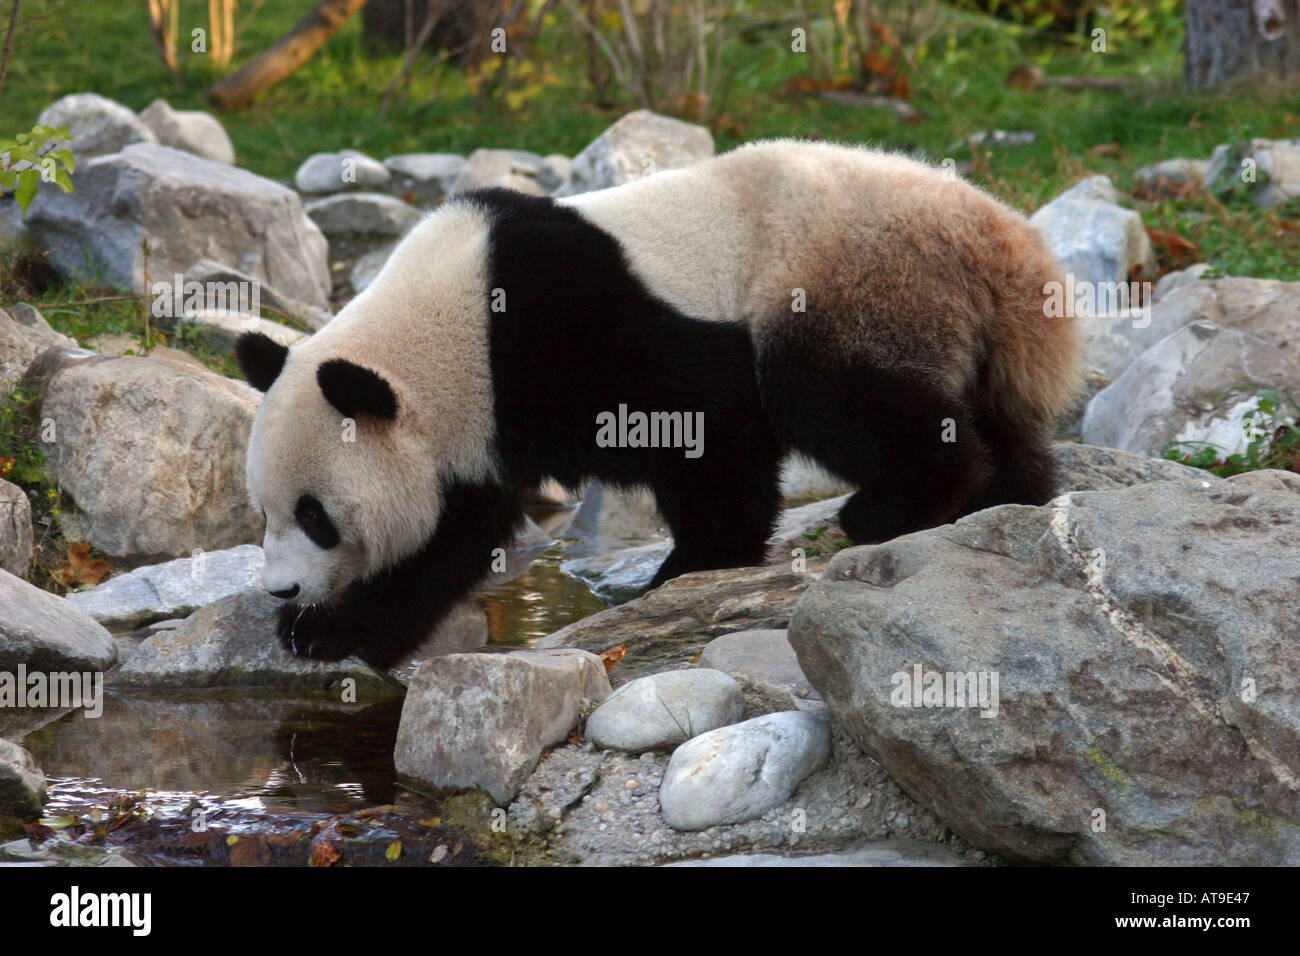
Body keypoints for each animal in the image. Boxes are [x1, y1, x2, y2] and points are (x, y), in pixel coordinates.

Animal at [236, 139, 1080, 668]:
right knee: (995, 418)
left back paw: (900, 505)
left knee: (831, 393)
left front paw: (692, 567)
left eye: (316, 515)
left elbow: (711, 433)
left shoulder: (567, 333)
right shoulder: (472, 431)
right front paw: (327, 629)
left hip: (849, 280)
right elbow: (451, 537)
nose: (281, 586)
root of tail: (1002, 242)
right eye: (264, 512)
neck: (441, 333)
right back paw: (1009, 496)